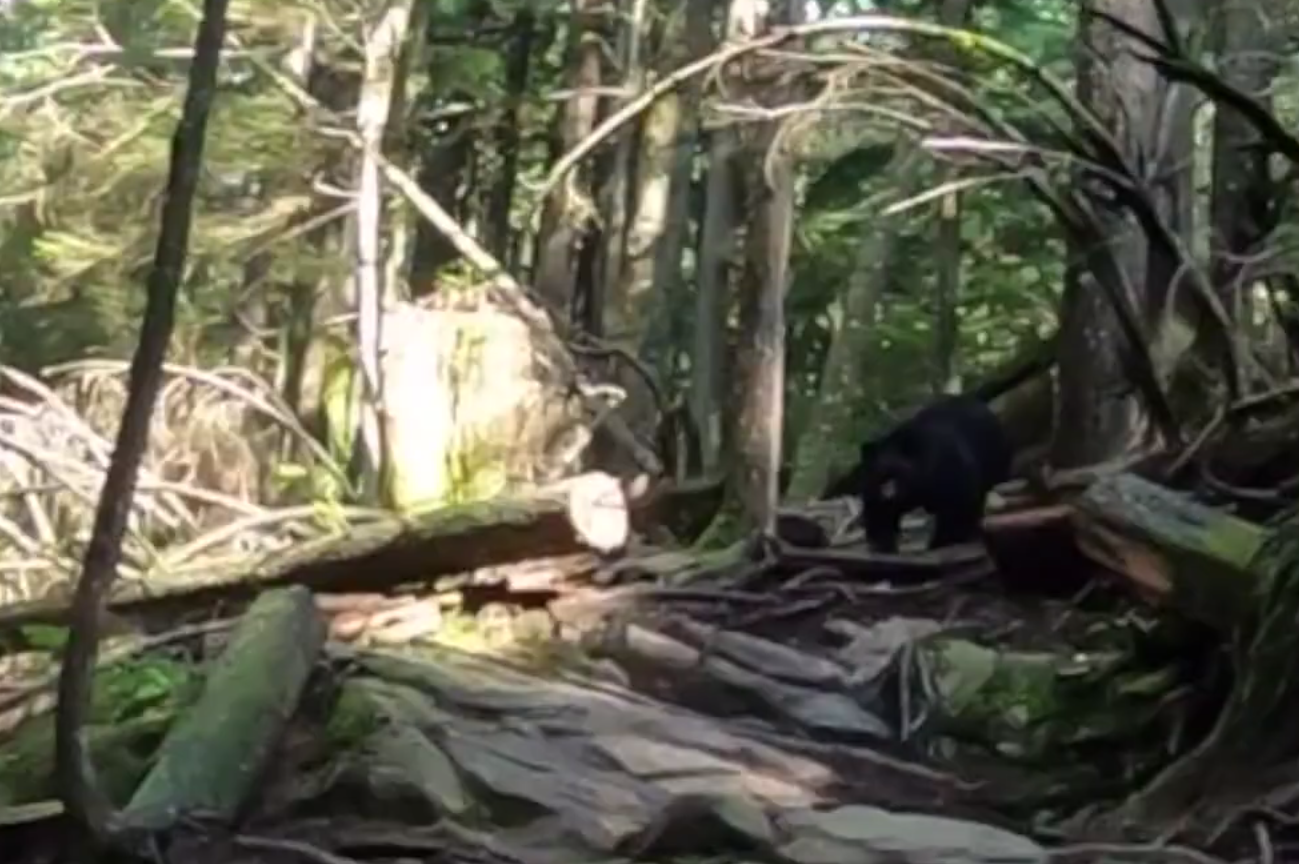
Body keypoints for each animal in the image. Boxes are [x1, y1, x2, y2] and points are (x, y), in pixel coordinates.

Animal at [820, 394, 1012, 553]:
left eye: (897, 473)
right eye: (881, 477)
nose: (889, 494)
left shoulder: (950, 471)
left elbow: (955, 505)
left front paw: (943, 541)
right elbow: (878, 515)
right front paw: (881, 544)